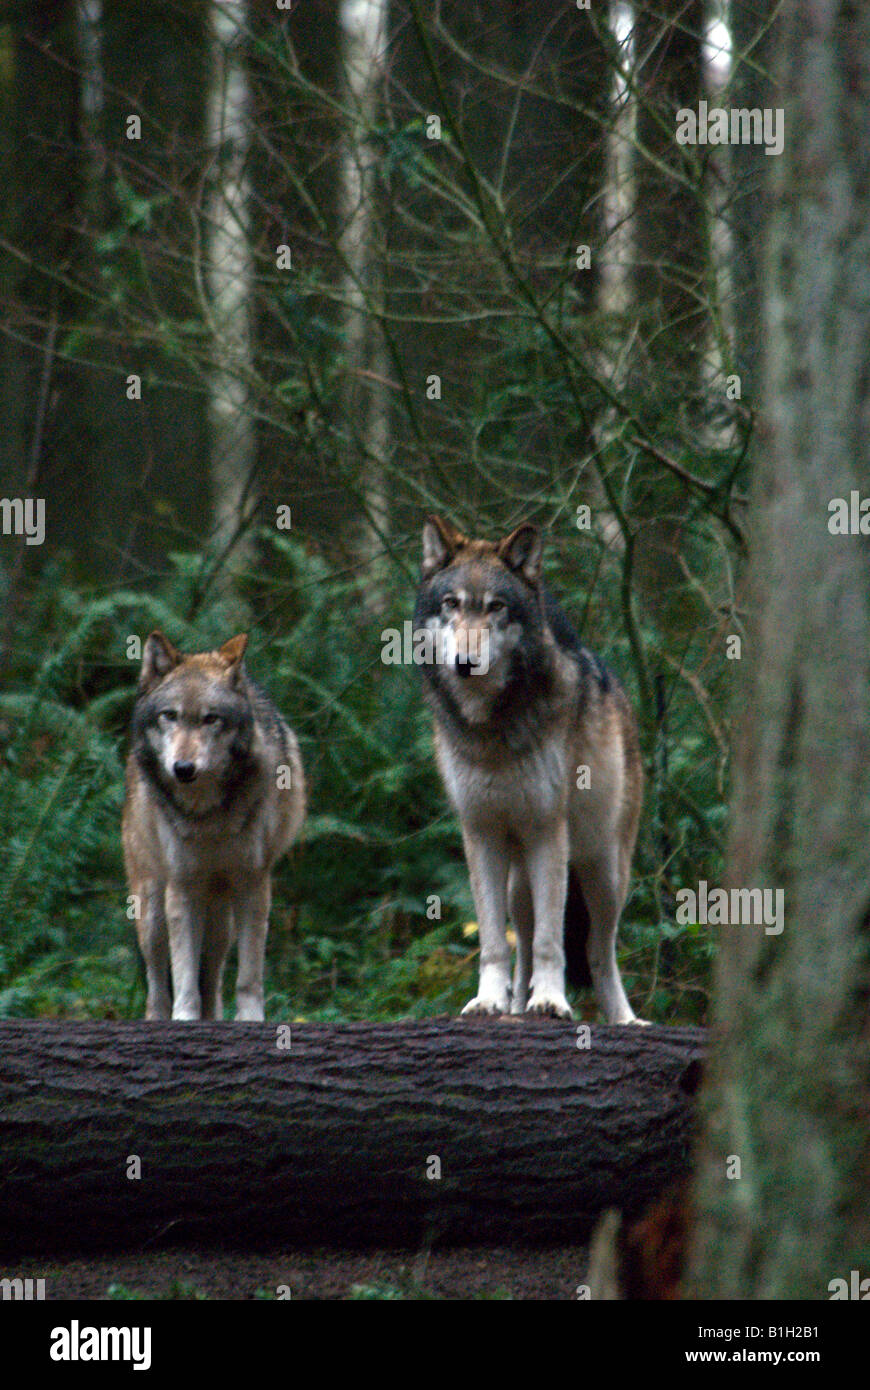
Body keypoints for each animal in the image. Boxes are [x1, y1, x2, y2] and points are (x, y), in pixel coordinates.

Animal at [122, 632, 305, 1021]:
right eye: (170, 716)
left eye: (211, 719)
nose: (183, 768)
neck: (208, 816)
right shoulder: (182, 888)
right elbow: (184, 974)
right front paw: (185, 1019)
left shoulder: (253, 885)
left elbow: (248, 975)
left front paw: (250, 1019)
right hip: (152, 909)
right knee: (157, 982)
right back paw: (157, 1018)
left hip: (222, 922)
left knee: (213, 976)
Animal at [414, 515, 645, 1023]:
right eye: (451, 604)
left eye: (496, 607)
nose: (465, 663)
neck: (490, 728)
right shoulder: (480, 832)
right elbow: (494, 942)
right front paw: (488, 999)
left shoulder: (547, 831)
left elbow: (548, 941)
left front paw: (551, 1000)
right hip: (518, 883)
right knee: (520, 939)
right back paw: (514, 1004)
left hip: (603, 873)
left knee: (598, 951)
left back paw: (625, 1019)